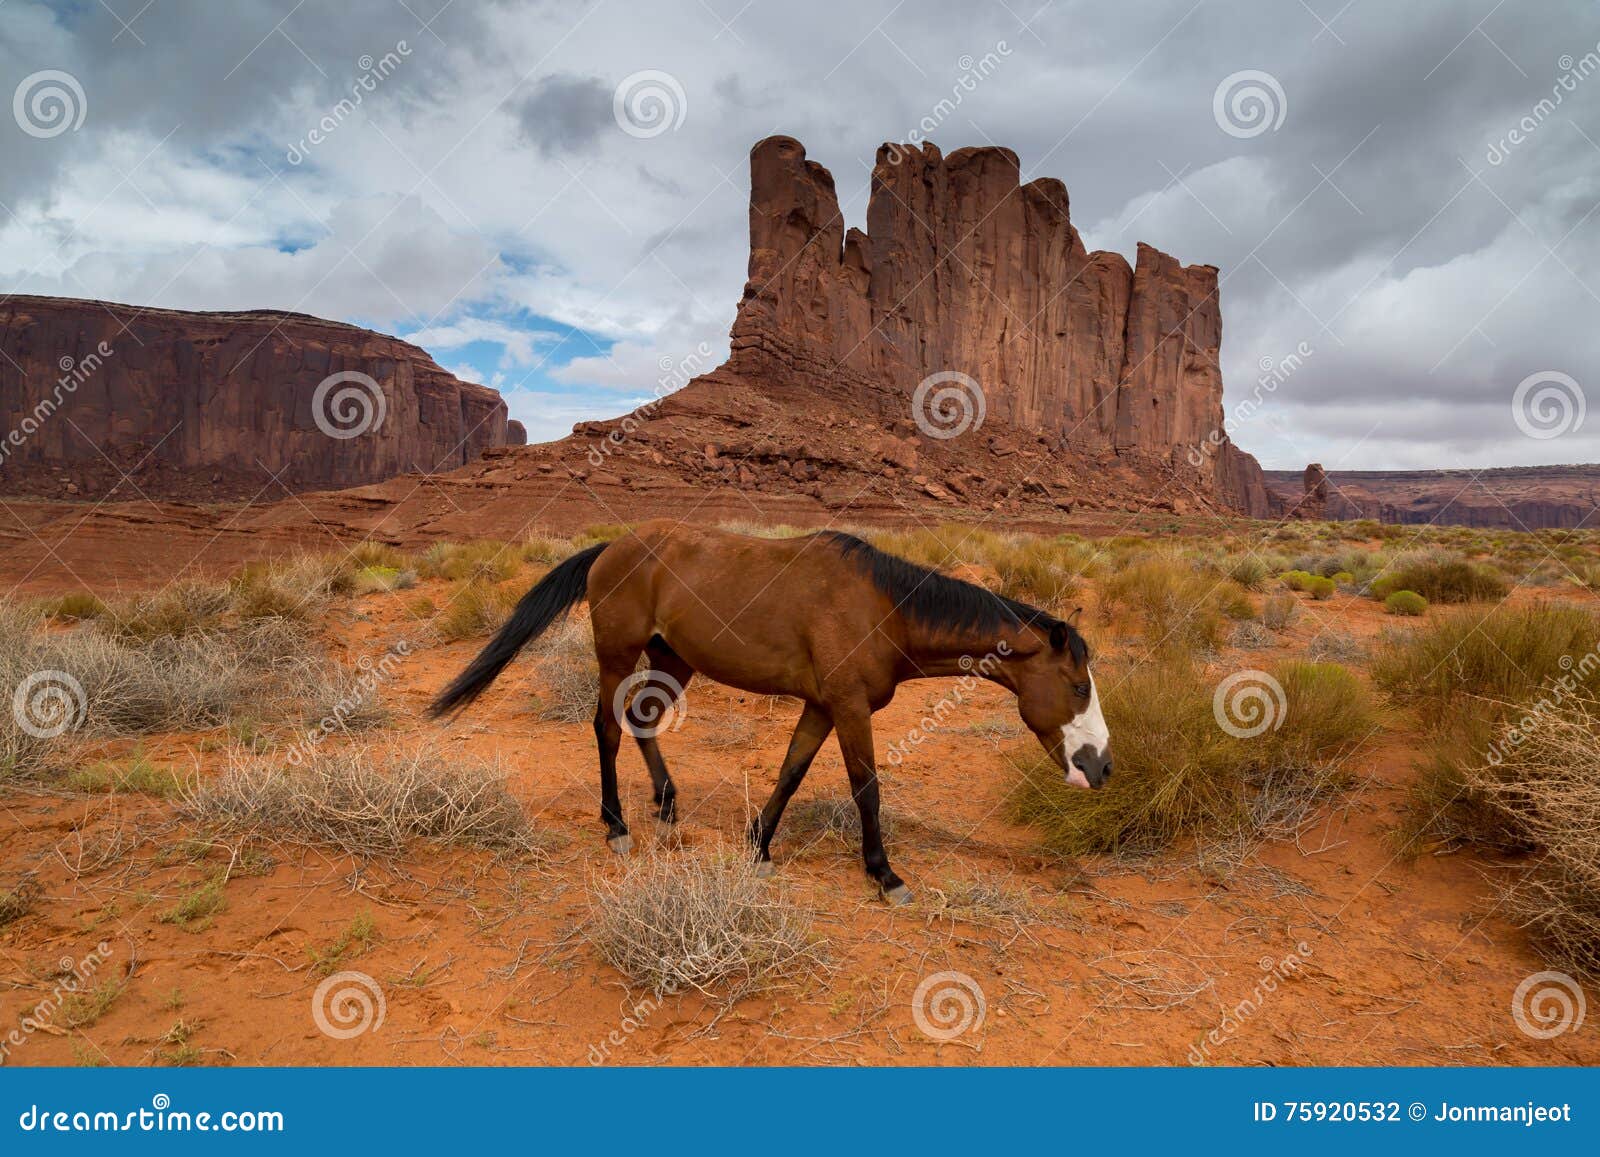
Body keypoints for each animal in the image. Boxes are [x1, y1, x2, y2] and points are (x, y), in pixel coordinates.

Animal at [429, 520, 1111, 904]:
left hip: (672, 659)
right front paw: (884, 875)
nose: (1101, 768)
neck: (884, 608)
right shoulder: (849, 707)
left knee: (644, 720)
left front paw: (758, 845)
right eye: (1078, 686)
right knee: (606, 727)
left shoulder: (822, 705)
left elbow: (791, 770)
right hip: (617, 657)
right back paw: (616, 825)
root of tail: (611, 549)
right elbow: (866, 788)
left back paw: (667, 806)